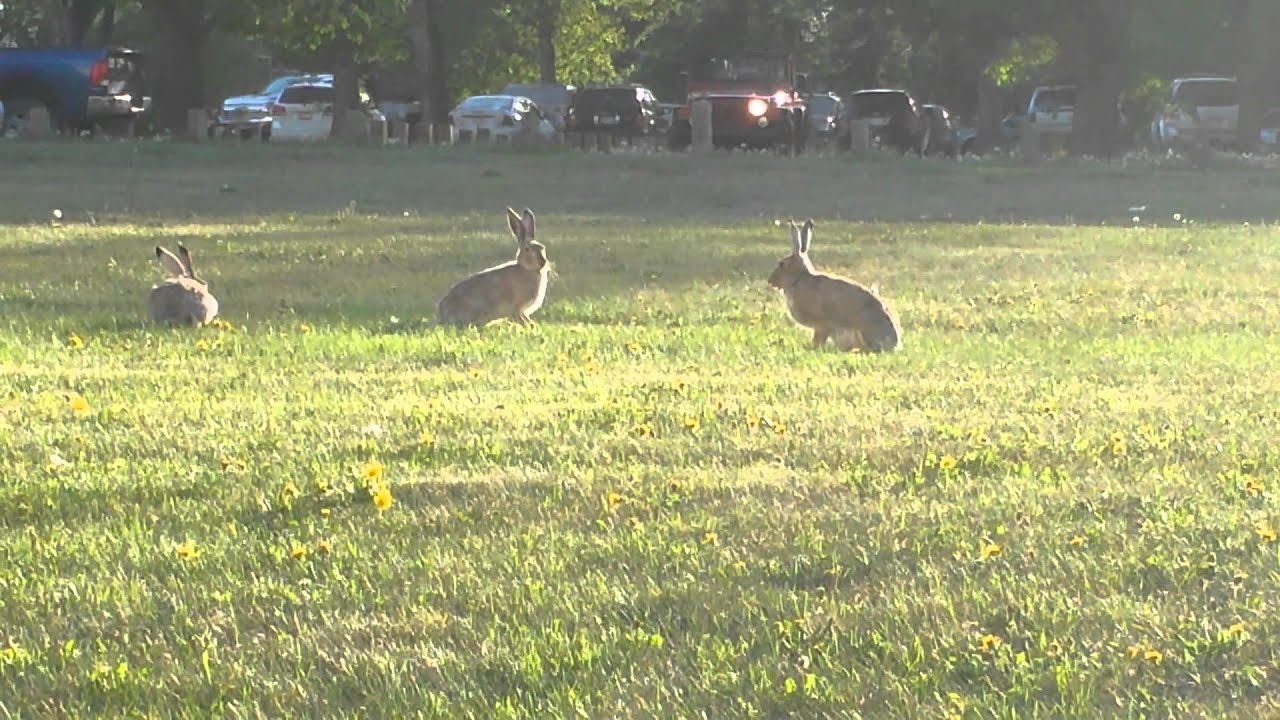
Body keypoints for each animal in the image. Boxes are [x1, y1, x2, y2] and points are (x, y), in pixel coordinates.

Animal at [767, 219, 901, 353]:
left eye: (781, 264)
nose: (770, 281)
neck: (799, 278)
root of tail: (894, 343)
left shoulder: (822, 325)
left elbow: (819, 338)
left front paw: (813, 348)